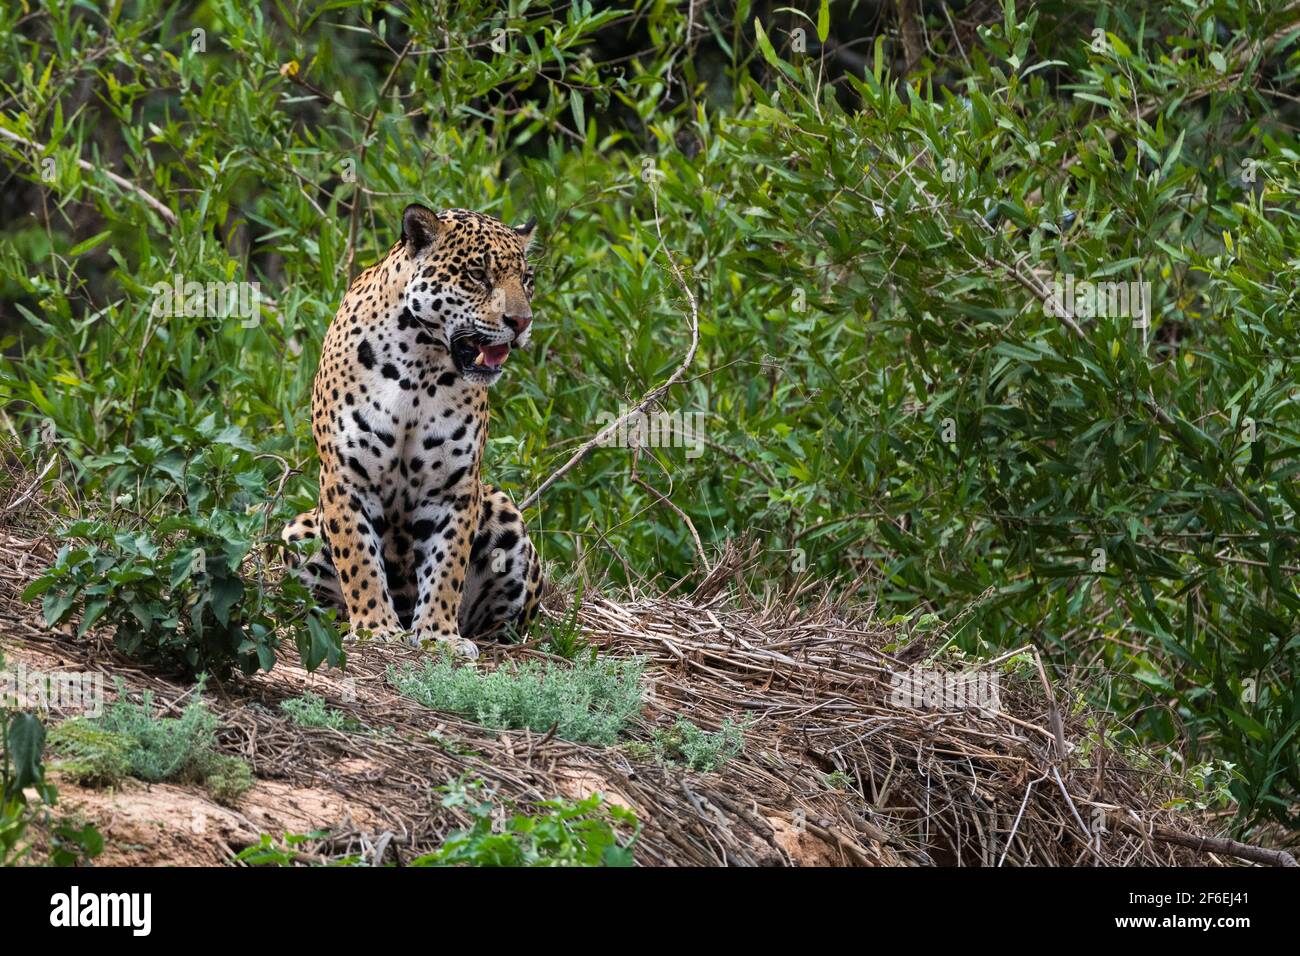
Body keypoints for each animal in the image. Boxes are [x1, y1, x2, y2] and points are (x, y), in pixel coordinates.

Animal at [281, 205, 543, 659]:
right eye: (478, 274)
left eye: (526, 279)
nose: (521, 321)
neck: (421, 368)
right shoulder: (345, 479)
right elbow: (359, 560)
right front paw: (376, 629)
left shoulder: (455, 488)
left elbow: (447, 565)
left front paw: (439, 635)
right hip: (297, 532)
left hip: (504, 511)